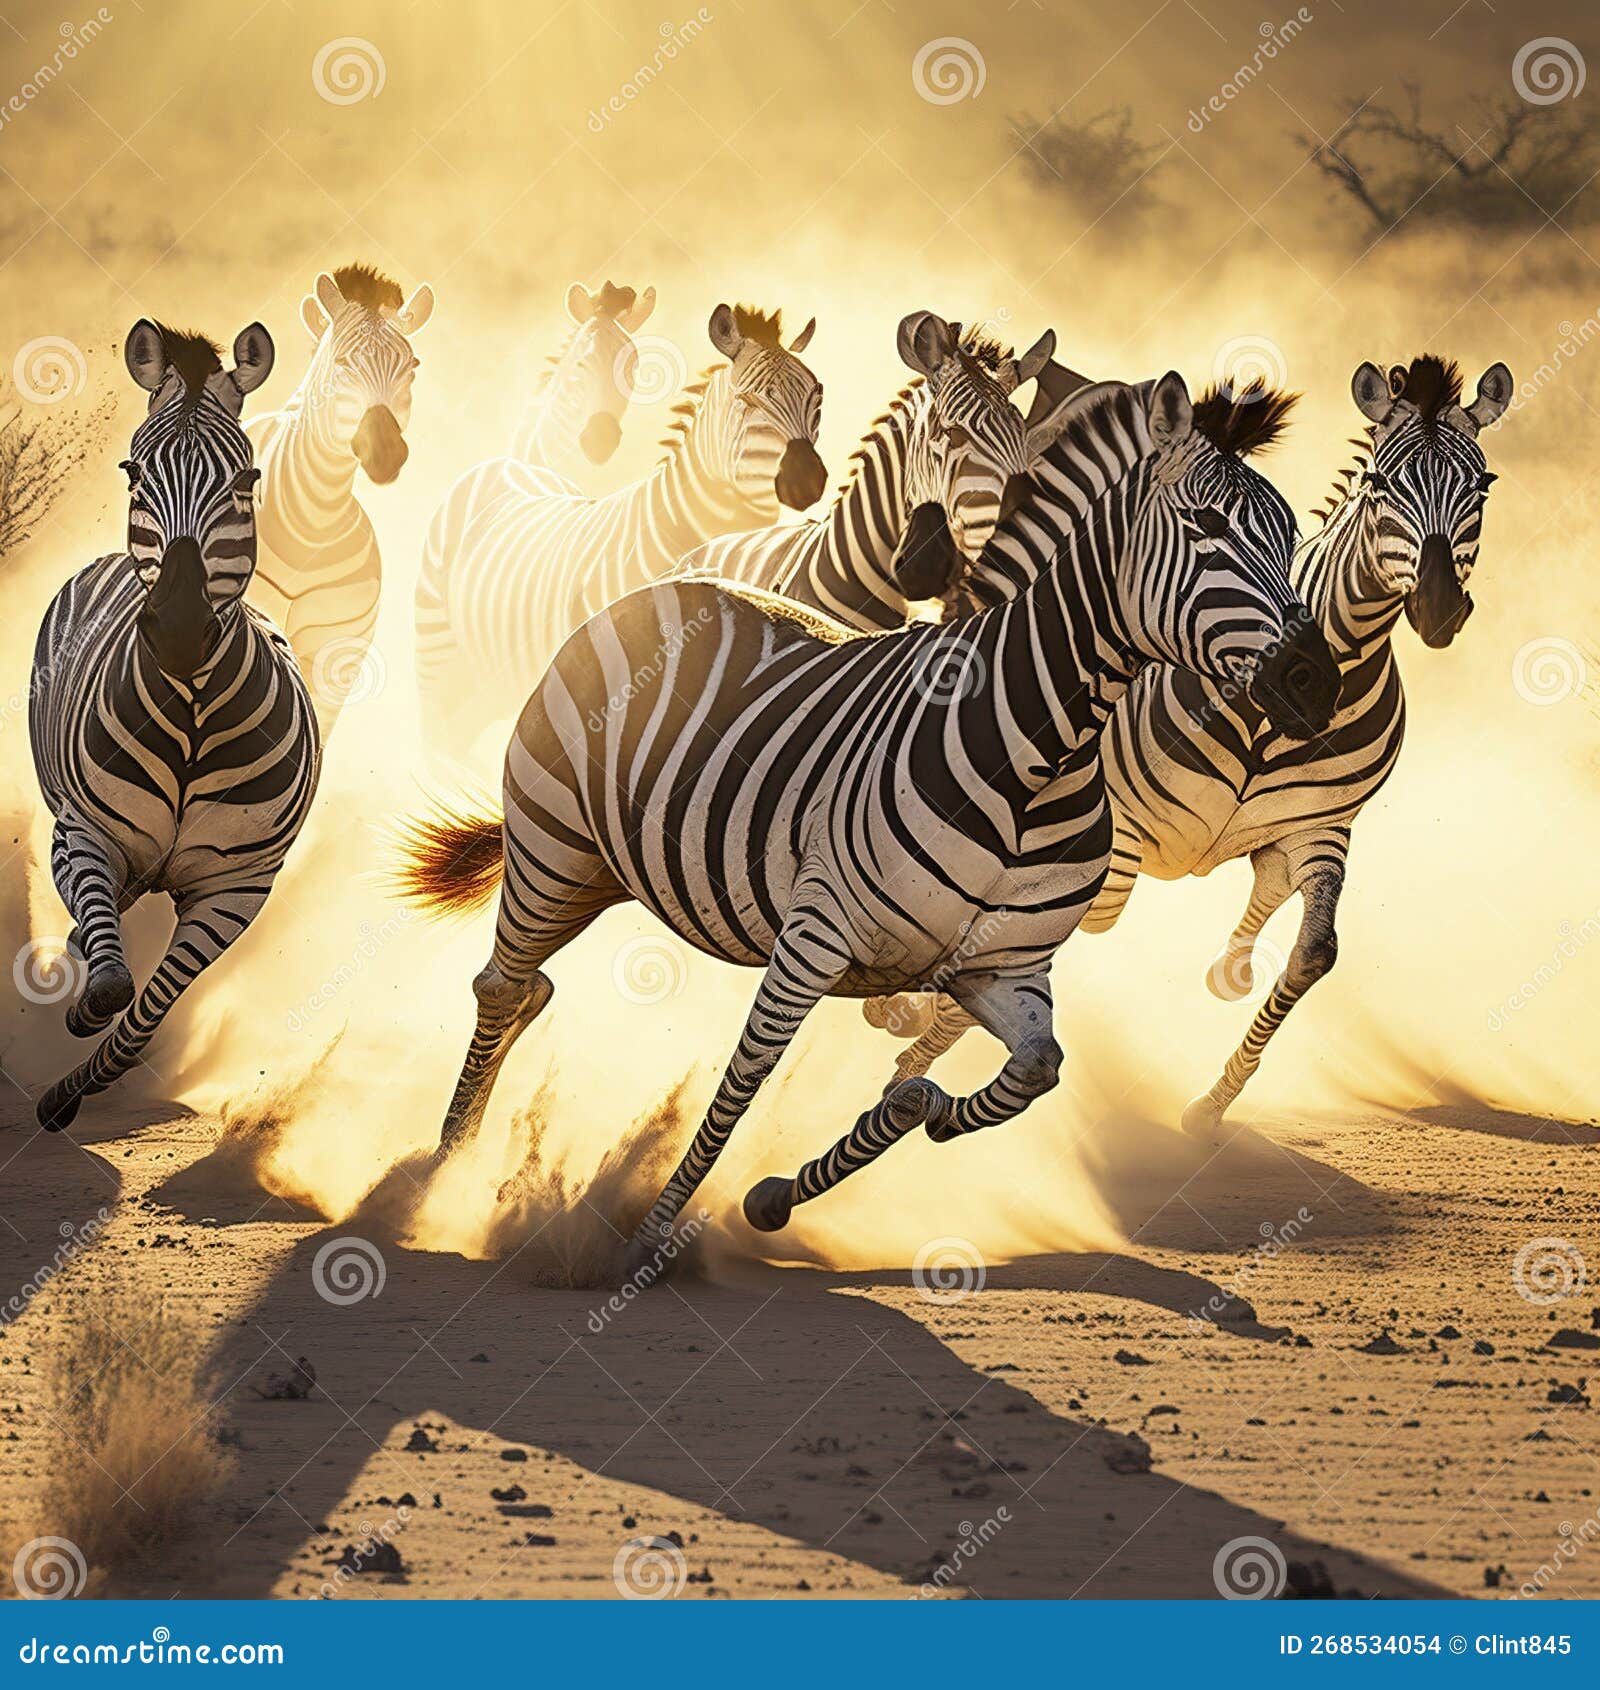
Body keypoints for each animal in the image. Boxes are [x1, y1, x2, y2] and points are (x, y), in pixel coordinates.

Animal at [28, 319, 320, 1132]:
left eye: (246, 481)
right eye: (134, 473)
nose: (183, 630)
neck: (191, 714)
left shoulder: (235, 888)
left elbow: (141, 1022)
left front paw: (64, 1095)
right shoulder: (89, 832)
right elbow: (110, 986)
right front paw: (84, 1003)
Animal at [394, 371, 1338, 1278]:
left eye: (1292, 537)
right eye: (1208, 526)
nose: (1313, 679)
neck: (1041, 756)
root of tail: (665, 580)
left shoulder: (1002, 967)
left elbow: (1030, 1072)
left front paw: (834, 1161)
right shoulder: (815, 936)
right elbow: (743, 1080)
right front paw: (648, 1239)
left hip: (605, 872)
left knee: (530, 990)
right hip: (552, 845)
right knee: (502, 986)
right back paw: (437, 1183)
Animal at [875, 356, 1511, 1140]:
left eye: (1483, 485)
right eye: (1379, 484)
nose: (1437, 607)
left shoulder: (1322, 830)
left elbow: (1313, 953)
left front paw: (1213, 1101)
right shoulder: (1118, 829)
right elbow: (1053, 931)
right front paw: (916, 1053)